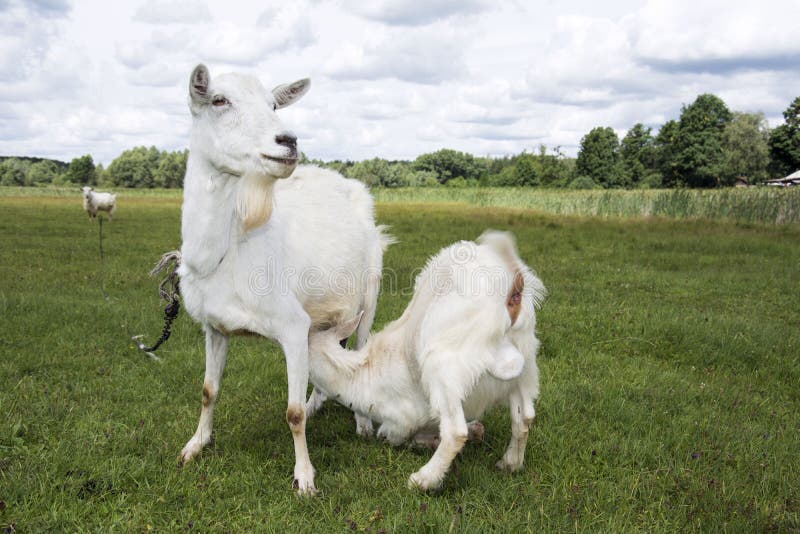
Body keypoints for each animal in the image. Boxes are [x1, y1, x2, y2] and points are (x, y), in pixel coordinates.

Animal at [175, 64, 389, 495]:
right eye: (218, 99)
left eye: (274, 104)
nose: (287, 141)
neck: (228, 252)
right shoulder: (214, 325)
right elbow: (208, 390)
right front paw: (194, 446)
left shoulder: (291, 324)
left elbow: (291, 414)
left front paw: (304, 478)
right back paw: (317, 401)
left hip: (370, 293)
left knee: (359, 349)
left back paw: (360, 423)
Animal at [308, 230, 546, 490]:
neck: (361, 372)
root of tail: (512, 287)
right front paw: (476, 431)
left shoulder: (400, 420)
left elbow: (395, 437)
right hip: (526, 361)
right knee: (525, 416)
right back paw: (509, 464)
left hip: (443, 366)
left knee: (455, 431)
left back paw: (423, 479)